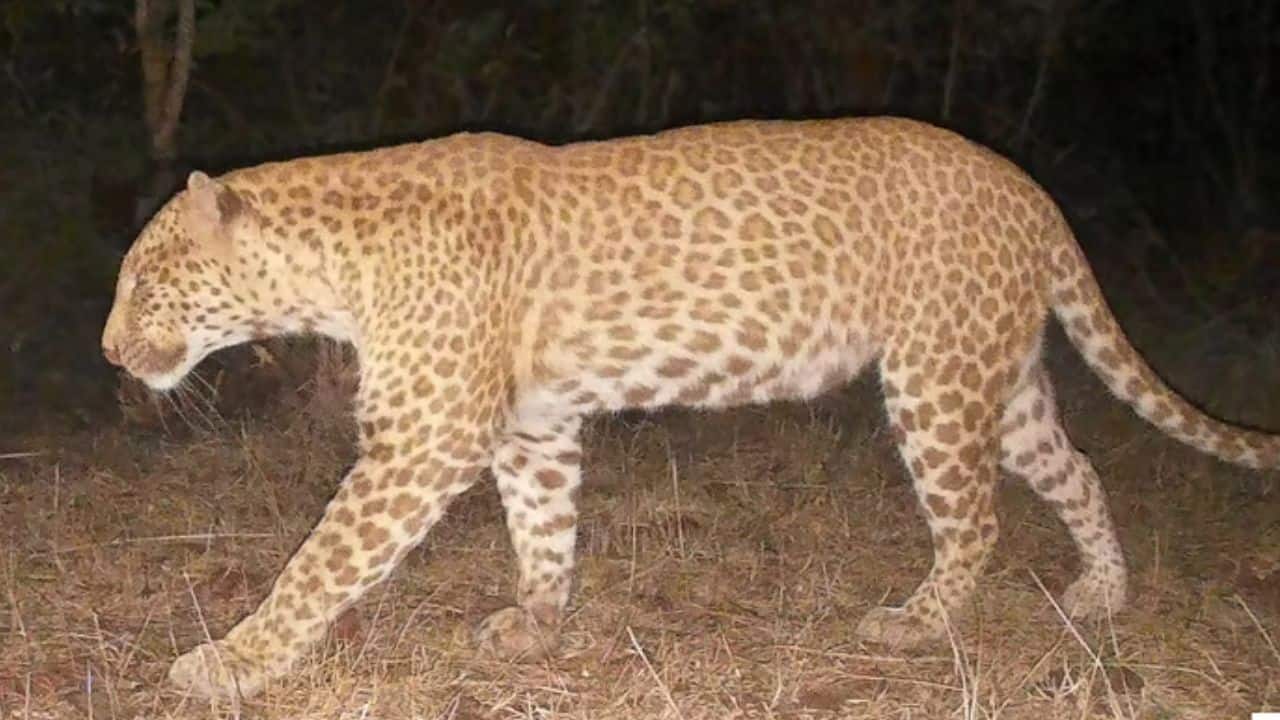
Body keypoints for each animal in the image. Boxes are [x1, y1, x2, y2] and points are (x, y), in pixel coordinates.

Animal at [101, 117, 1279, 699]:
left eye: (145, 282)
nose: (108, 351)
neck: (329, 264)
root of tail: (1028, 188)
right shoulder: (532, 422)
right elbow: (543, 526)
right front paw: (533, 625)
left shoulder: (420, 440)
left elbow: (319, 565)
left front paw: (228, 662)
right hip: (1000, 372)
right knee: (1076, 468)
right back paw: (1102, 594)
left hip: (935, 379)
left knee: (976, 519)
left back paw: (915, 622)